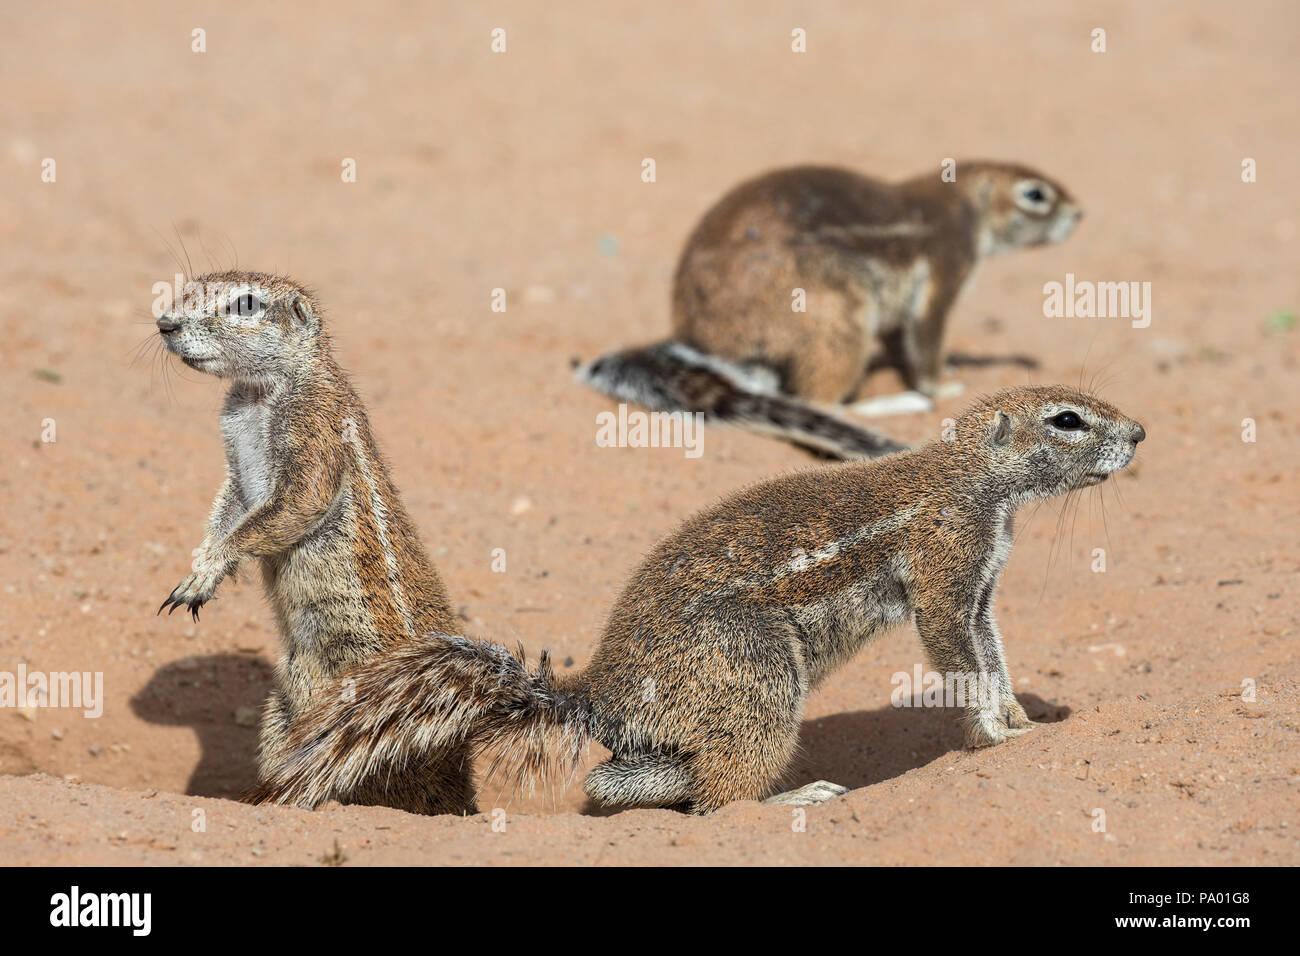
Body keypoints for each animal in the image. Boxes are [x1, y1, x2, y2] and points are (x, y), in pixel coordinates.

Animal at [155, 270, 478, 815]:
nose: (164, 324)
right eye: (187, 289)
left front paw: (211, 566)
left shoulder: (314, 428)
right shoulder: (235, 462)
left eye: (245, 303)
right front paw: (199, 567)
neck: (258, 394)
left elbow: (294, 505)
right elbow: (229, 508)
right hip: (281, 709)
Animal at [248, 384, 1143, 814]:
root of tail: (599, 696)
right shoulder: (947, 572)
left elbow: (992, 654)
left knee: (616, 785)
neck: (971, 481)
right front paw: (997, 733)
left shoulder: (980, 587)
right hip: (756, 673)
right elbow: (960, 656)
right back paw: (794, 801)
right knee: (721, 800)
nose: (1138, 434)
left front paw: (1021, 719)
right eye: (1067, 419)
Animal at [576, 161, 1081, 458]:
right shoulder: (945, 265)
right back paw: (892, 403)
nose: (1080, 214)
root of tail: (701, 343)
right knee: (819, 400)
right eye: (1035, 194)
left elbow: (902, 341)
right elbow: (926, 339)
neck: (964, 202)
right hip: (838, 318)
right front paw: (944, 385)